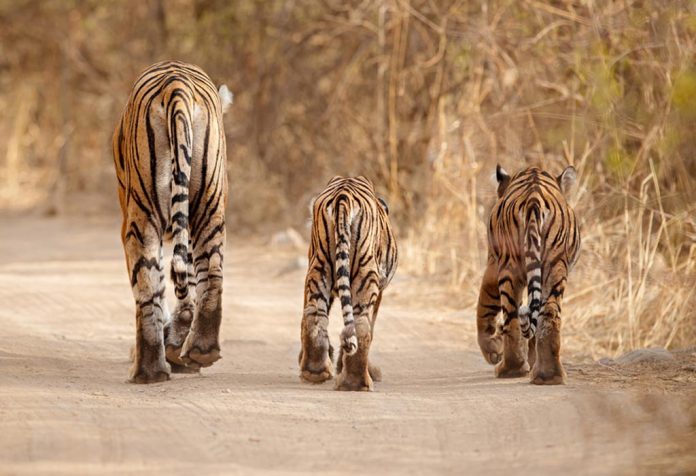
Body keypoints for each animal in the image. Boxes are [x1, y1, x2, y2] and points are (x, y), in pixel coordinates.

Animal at [113, 60, 233, 383]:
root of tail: (176, 83)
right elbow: (188, 281)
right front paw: (179, 348)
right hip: (209, 203)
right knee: (212, 271)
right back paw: (201, 350)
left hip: (141, 216)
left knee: (146, 285)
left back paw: (147, 370)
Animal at [299, 176, 398, 391]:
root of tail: (343, 194)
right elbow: (372, 326)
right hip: (365, 275)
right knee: (362, 326)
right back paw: (356, 383)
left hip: (319, 269)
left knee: (313, 316)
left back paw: (315, 372)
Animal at [476, 165, 580, 385]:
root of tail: (534, 198)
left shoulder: (493, 264)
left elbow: (484, 306)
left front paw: (492, 350)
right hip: (555, 266)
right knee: (549, 314)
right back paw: (548, 375)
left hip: (509, 266)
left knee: (511, 317)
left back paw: (509, 368)